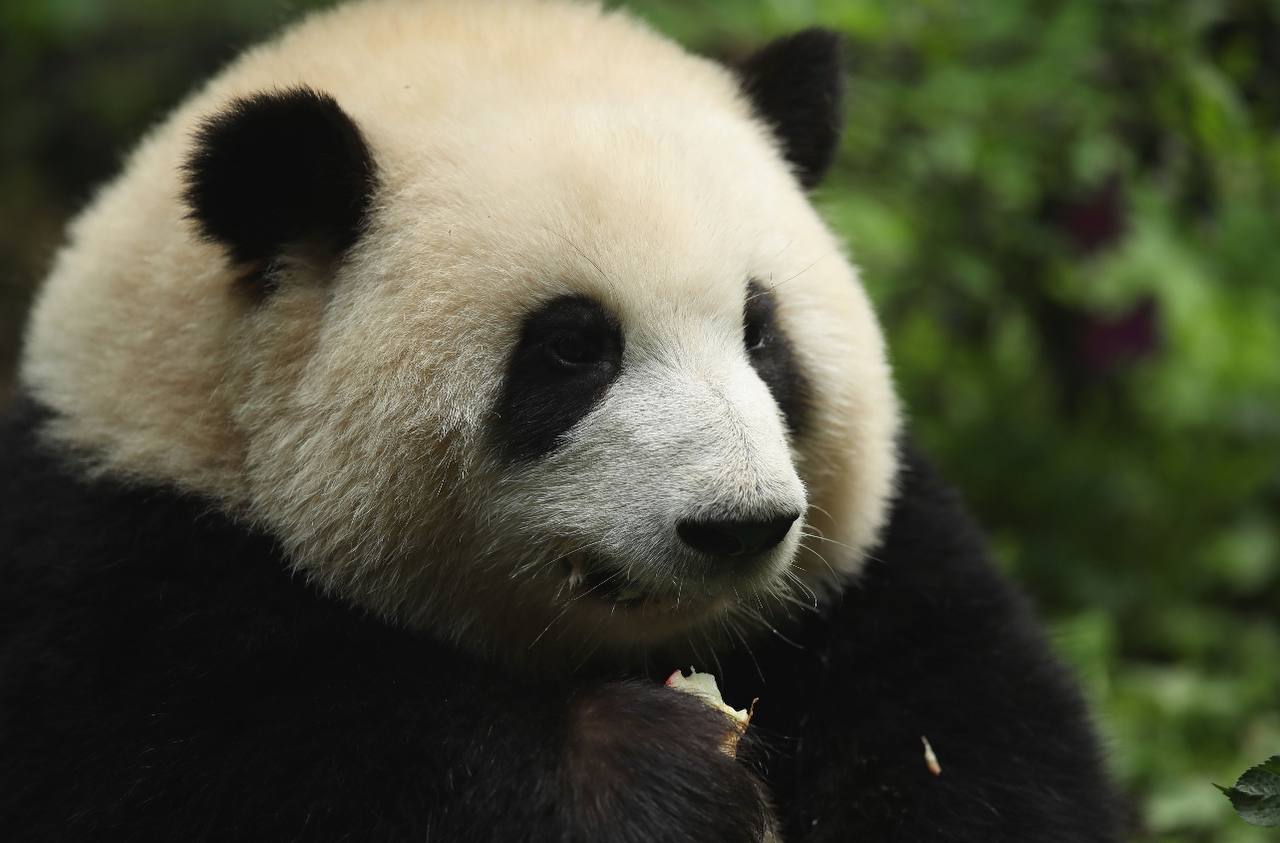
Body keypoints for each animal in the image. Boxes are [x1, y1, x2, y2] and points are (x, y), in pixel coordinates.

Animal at [0, 1, 1123, 840]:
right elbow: (247, 760)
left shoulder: (878, 567)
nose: (738, 526)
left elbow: (981, 742)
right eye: (574, 347)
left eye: (761, 334)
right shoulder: (119, 562)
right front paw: (653, 770)